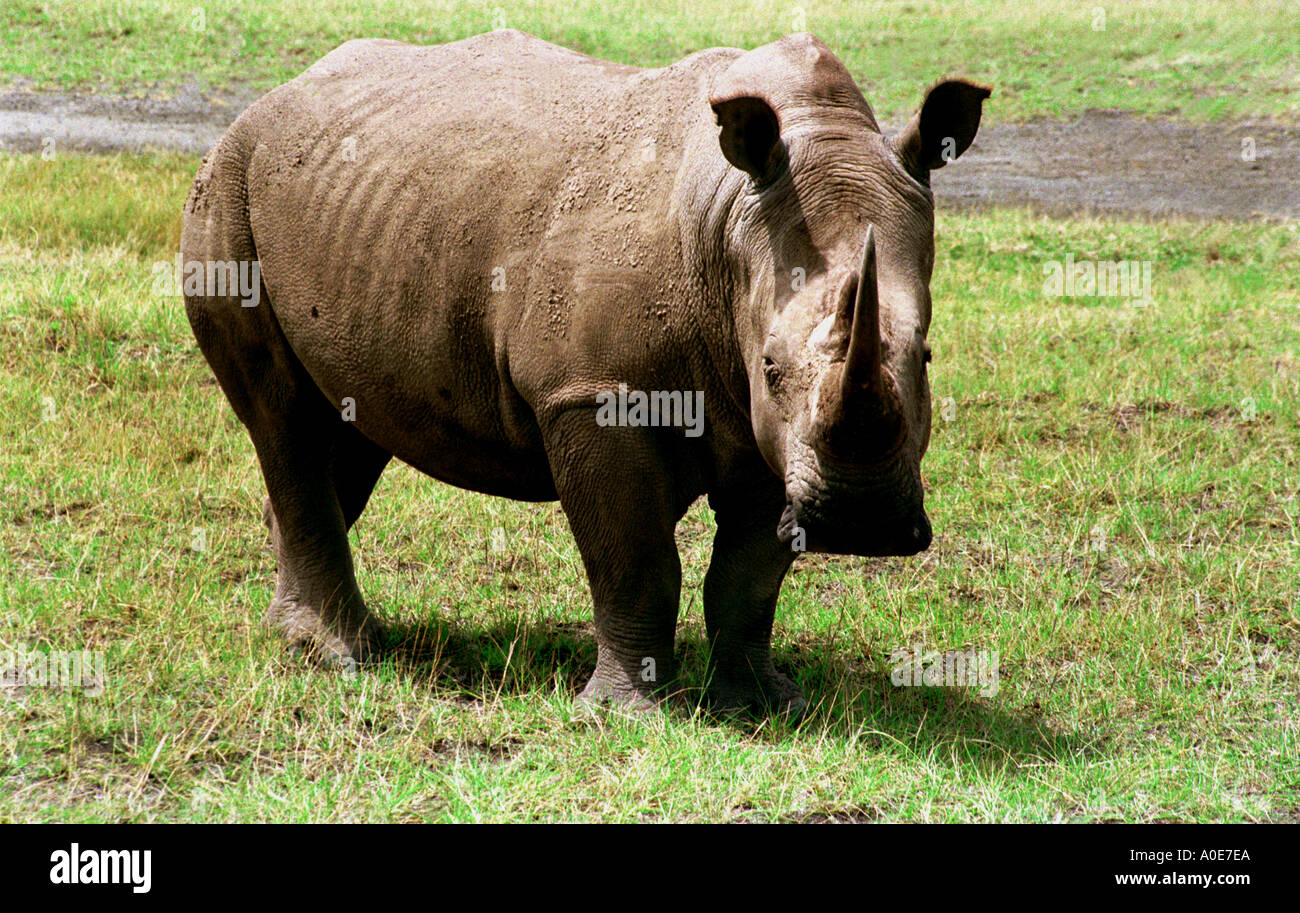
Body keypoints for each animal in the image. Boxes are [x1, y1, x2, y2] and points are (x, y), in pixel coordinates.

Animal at [183, 29, 988, 715]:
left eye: (924, 356)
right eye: (771, 366)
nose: (862, 521)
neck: (728, 224)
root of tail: (272, 97)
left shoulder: (769, 430)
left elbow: (748, 575)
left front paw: (764, 704)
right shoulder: (594, 396)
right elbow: (635, 560)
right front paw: (627, 715)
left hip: (352, 214)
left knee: (348, 426)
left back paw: (308, 634)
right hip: (230, 187)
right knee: (283, 417)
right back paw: (336, 653)